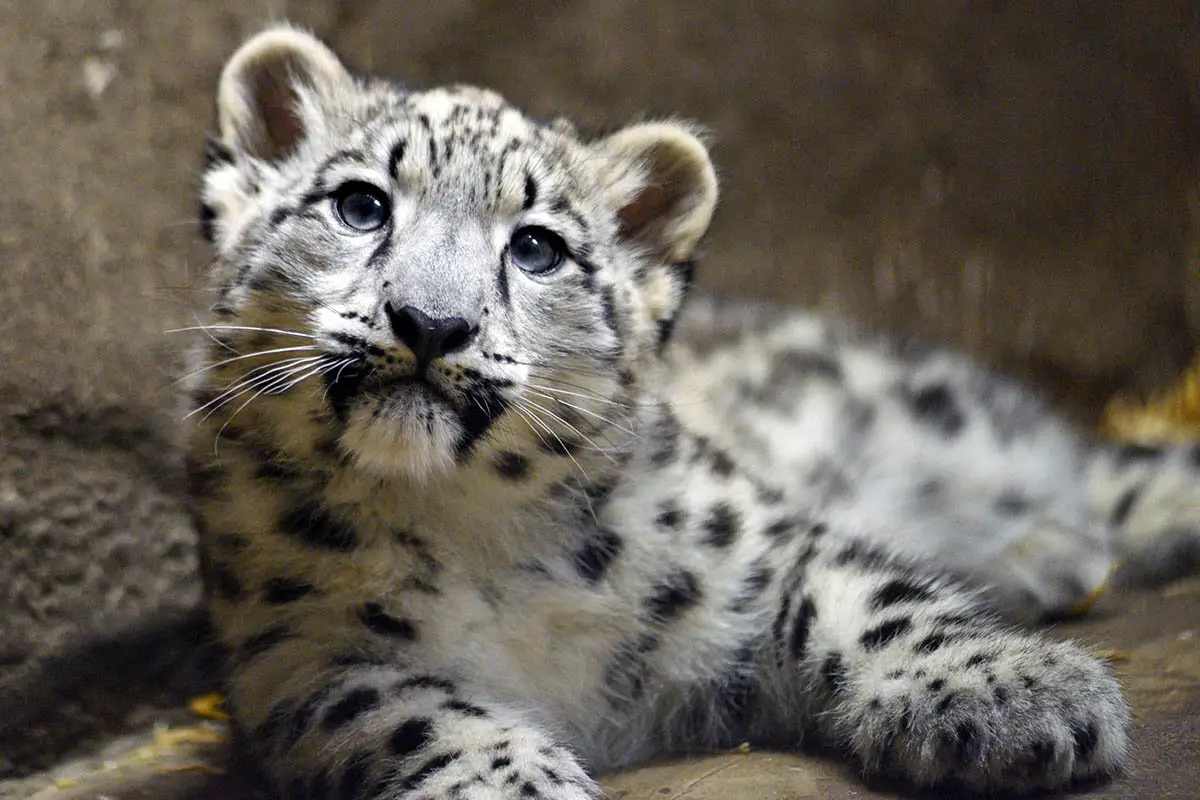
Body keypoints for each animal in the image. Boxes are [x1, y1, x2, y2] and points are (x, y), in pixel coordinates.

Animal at [185, 24, 1200, 799]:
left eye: (537, 248)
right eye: (360, 204)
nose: (433, 323)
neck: (467, 521)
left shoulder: (749, 543)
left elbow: (868, 595)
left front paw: (1017, 693)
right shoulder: (301, 655)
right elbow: (403, 712)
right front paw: (515, 781)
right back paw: (1048, 558)